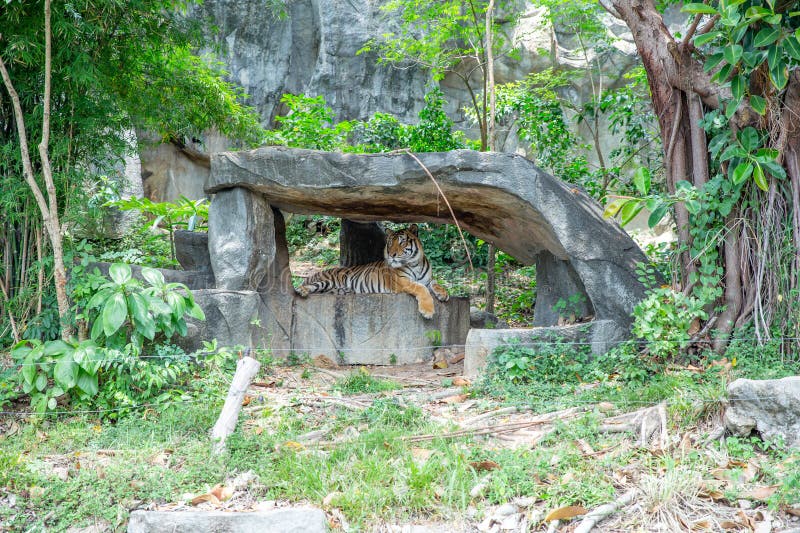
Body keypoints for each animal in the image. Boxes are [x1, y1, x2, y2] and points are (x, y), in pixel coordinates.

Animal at [295, 224, 449, 319]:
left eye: (402, 242)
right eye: (390, 243)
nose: (391, 254)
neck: (416, 263)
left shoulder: (427, 279)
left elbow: (435, 283)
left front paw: (443, 294)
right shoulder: (401, 281)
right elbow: (421, 288)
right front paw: (428, 311)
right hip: (325, 281)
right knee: (310, 287)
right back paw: (302, 290)